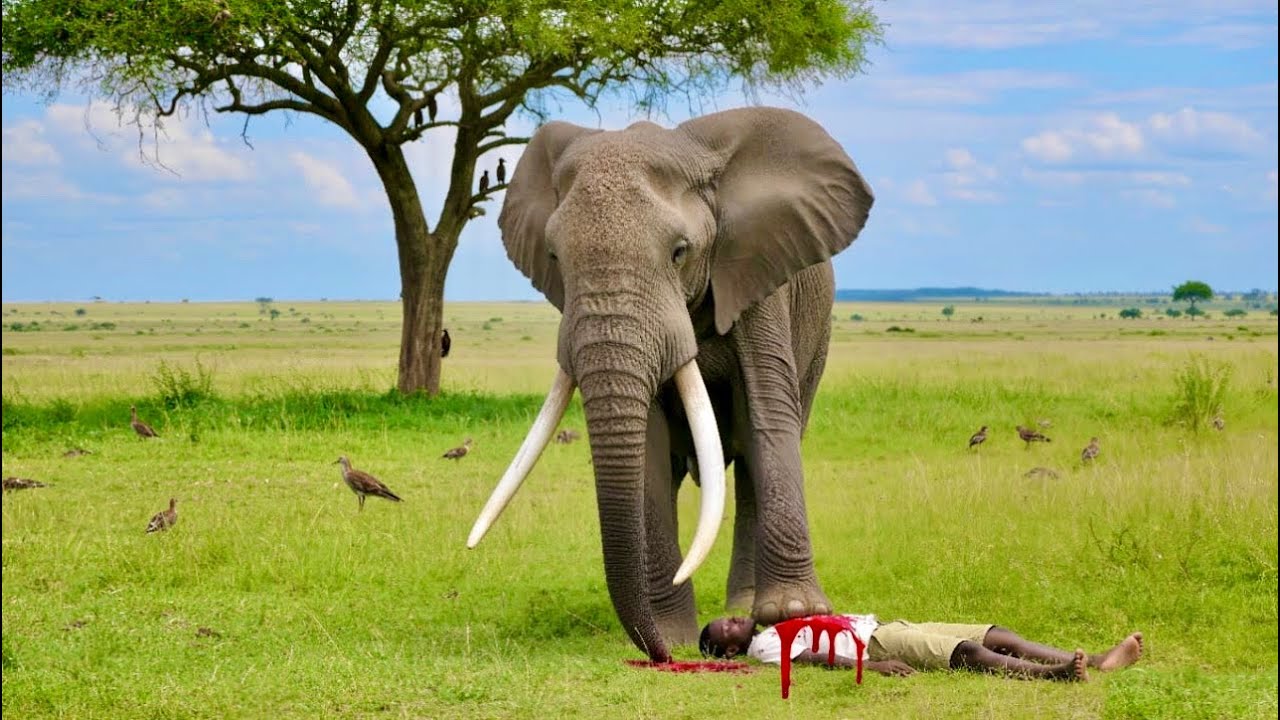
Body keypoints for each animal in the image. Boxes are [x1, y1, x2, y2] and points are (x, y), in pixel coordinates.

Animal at [468, 107, 874, 662]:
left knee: (754, 456)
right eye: (553, 258)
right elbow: (650, 446)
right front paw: (673, 630)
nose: (663, 654)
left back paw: (748, 606)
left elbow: (768, 416)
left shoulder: (757, 277)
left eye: (680, 252)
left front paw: (794, 613)